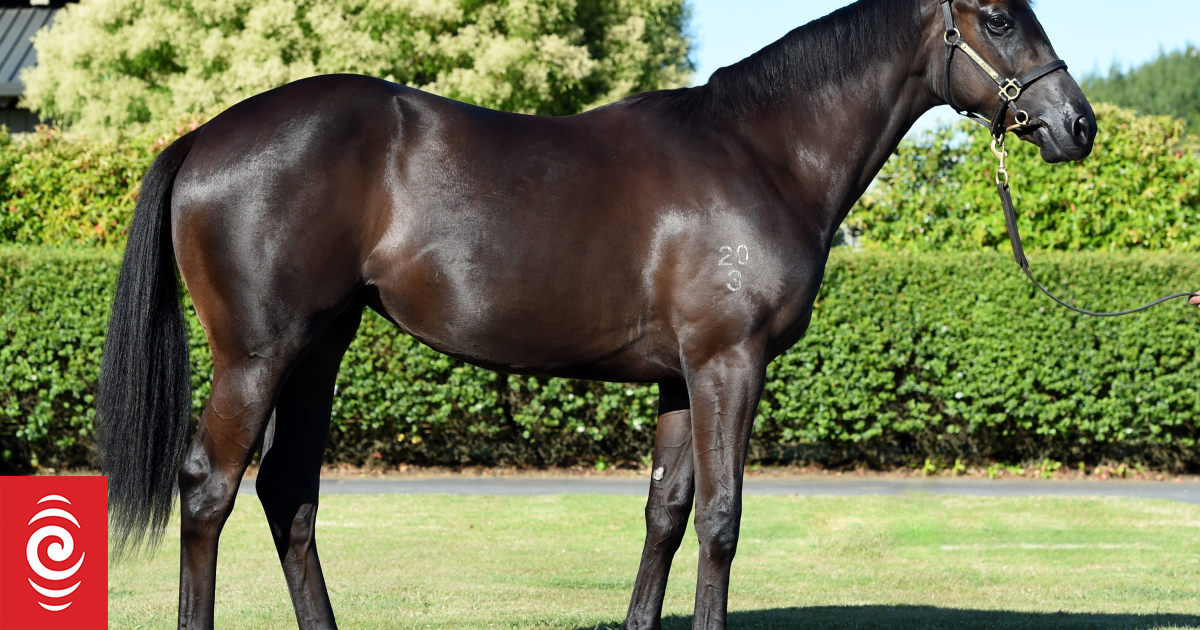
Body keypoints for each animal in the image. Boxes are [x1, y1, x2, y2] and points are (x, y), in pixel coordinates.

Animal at [95, 0, 1095, 627]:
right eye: (999, 15)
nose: (1076, 124)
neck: (761, 153)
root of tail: (204, 136)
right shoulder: (729, 363)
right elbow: (722, 517)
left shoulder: (682, 379)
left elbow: (667, 511)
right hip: (258, 355)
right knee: (210, 491)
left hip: (318, 350)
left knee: (288, 496)